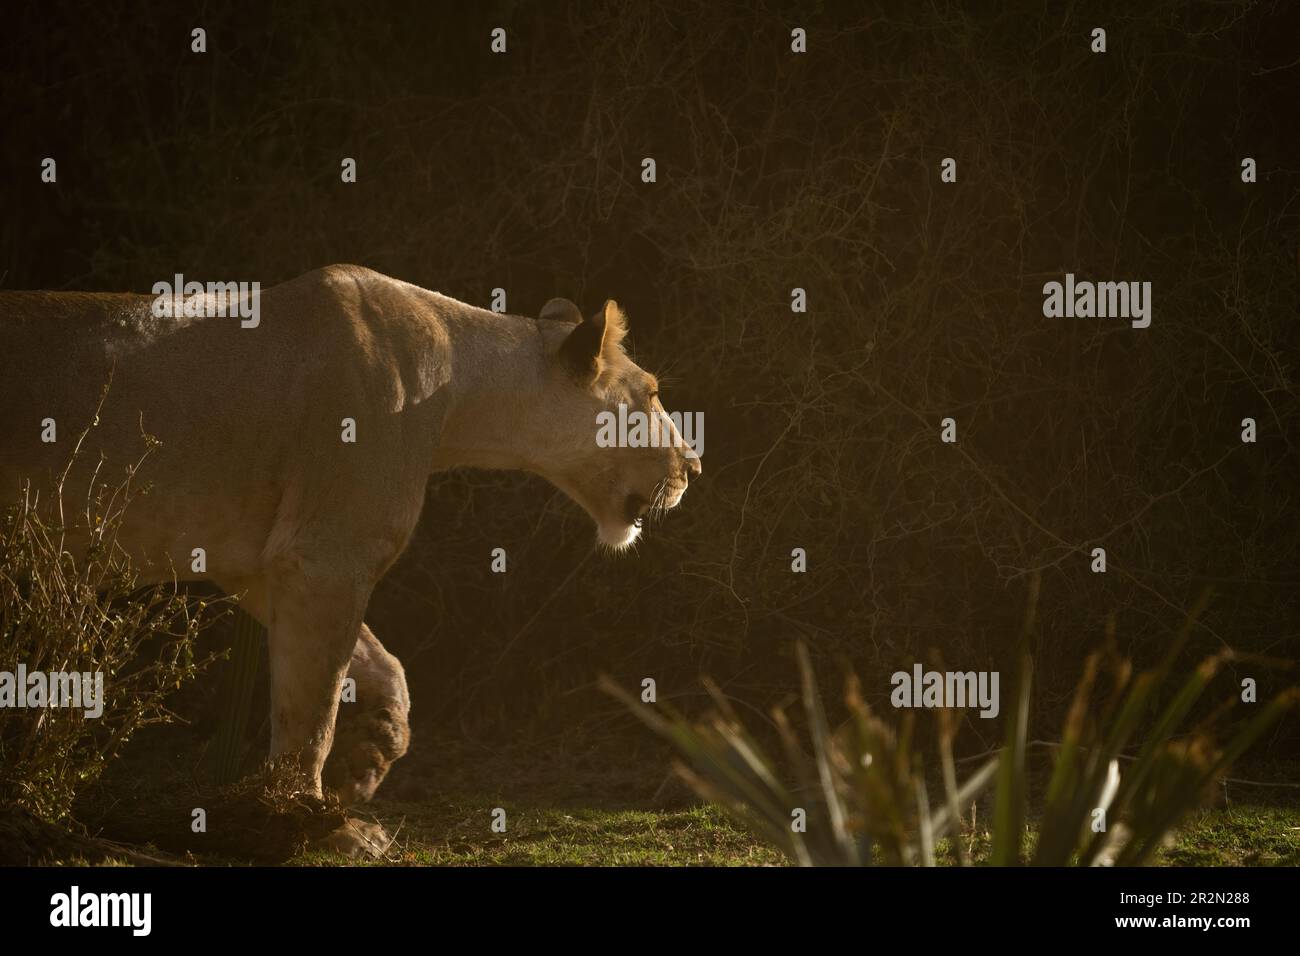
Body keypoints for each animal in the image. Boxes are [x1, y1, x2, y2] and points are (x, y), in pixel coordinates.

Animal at [0, 264, 700, 856]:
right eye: (651, 394)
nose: (694, 466)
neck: (459, 392)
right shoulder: (325, 554)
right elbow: (311, 710)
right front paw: (310, 821)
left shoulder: (263, 565)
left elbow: (378, 666)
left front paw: (366, 766)